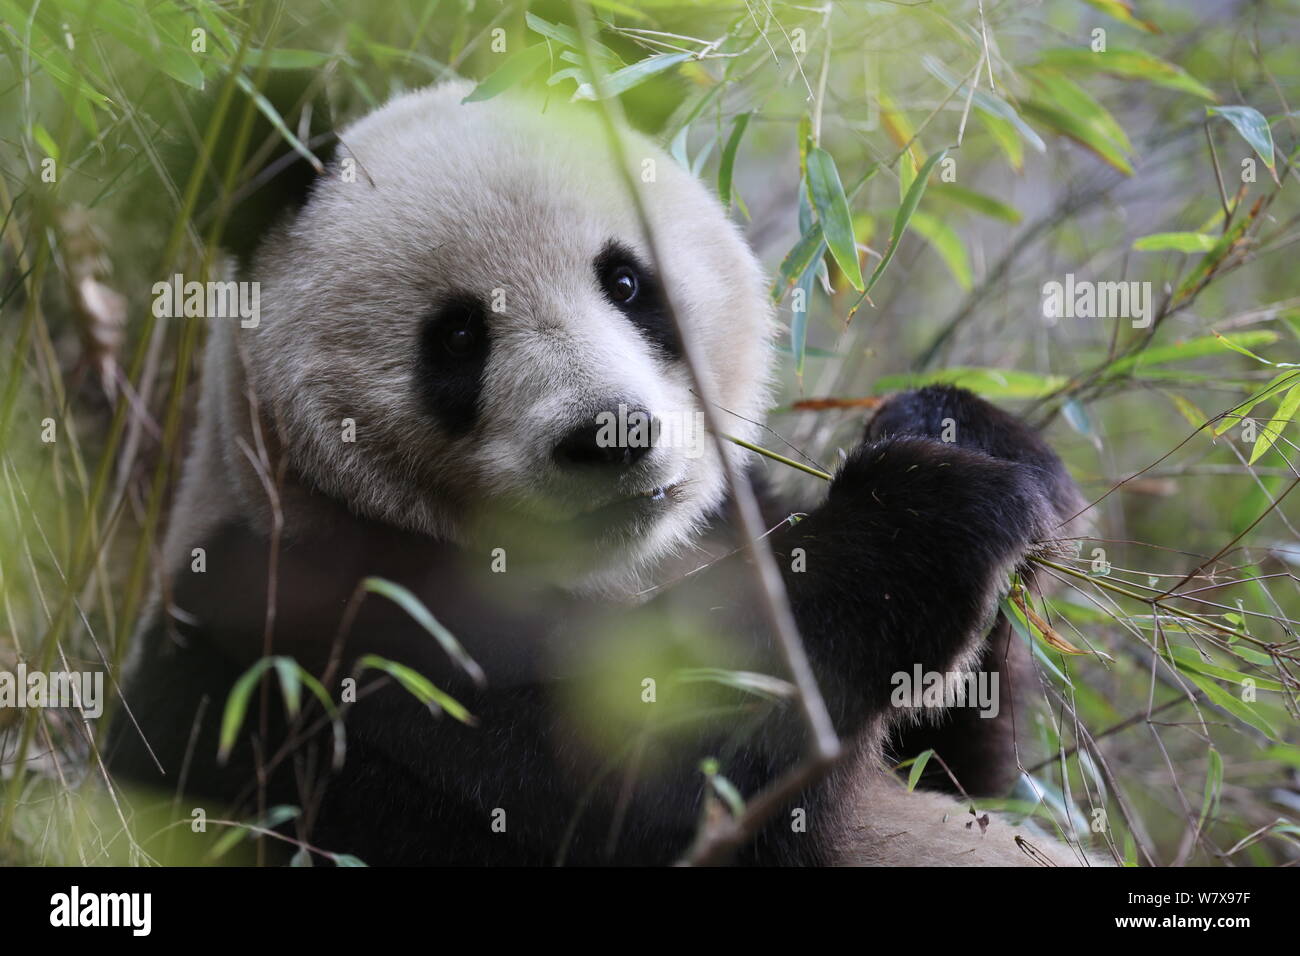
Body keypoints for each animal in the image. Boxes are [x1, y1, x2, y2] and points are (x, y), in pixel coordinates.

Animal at [109, 77, 1102, 867]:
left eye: (626, 283)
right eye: (459, 334)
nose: (610, 435)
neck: (616, 568)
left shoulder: (729, 517)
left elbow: (976, 780)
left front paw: (959, 434)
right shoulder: (309, 638)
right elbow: (628, 774)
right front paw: (931, 516)